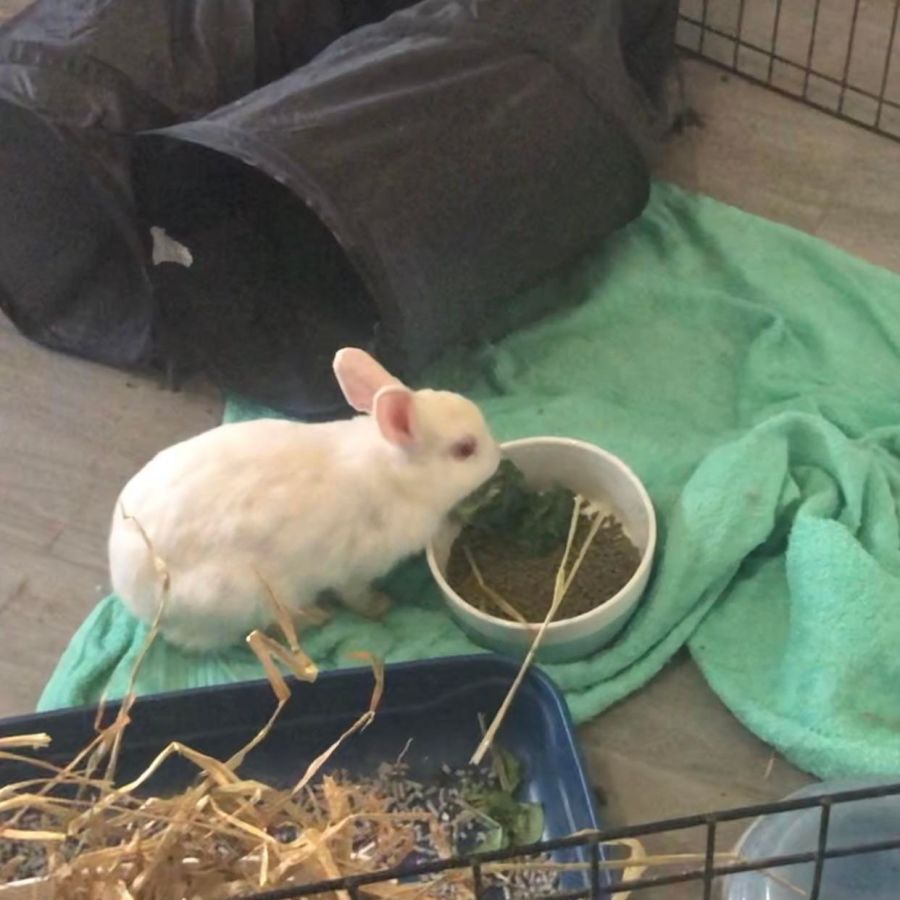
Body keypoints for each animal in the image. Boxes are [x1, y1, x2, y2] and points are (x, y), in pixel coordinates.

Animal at [108, 348, 501, 652]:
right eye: (464, 450)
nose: (497, 456)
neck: (395, 474)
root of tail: (134, 596)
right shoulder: (355, 569)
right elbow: (356, 595)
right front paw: (379, 606)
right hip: (242, 595)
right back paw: (315, 617)